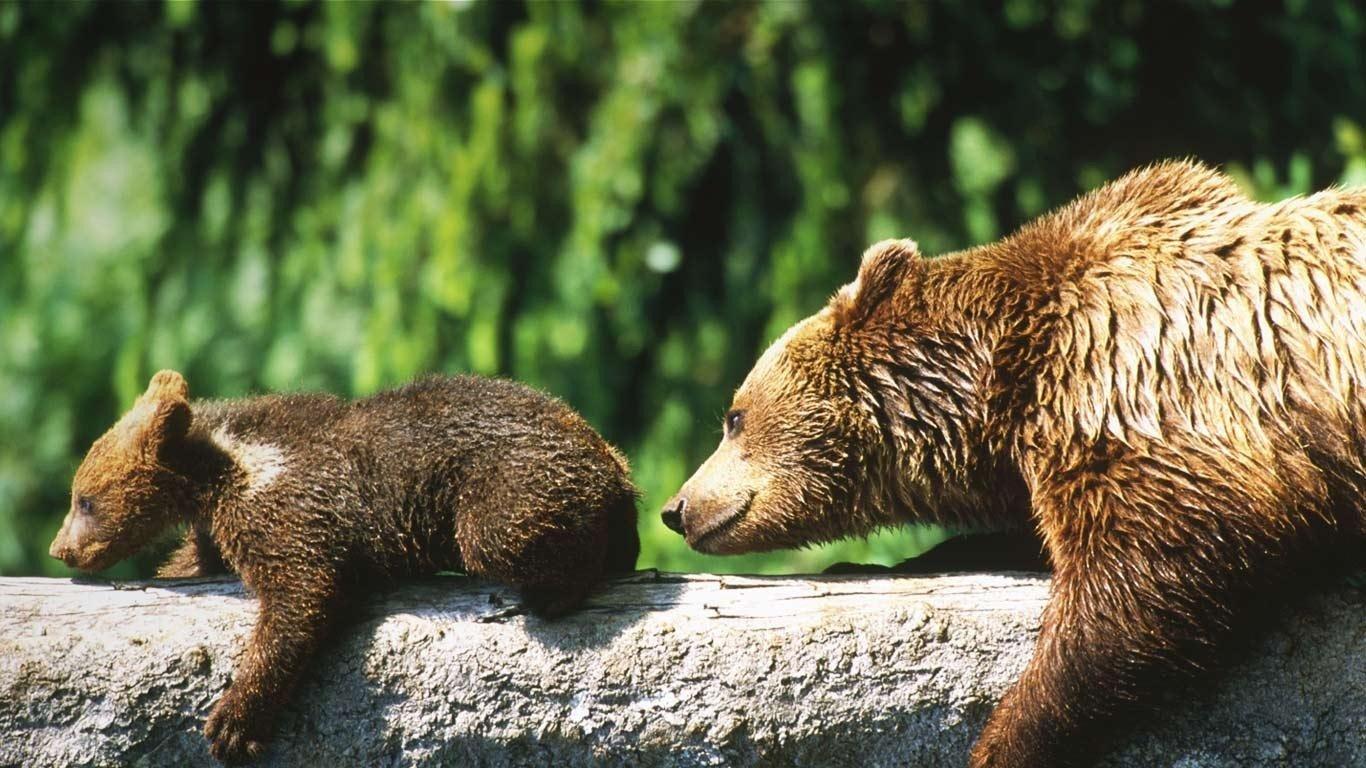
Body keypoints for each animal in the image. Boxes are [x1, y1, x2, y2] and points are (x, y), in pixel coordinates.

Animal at [49, 370, 640, 764]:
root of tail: (607, 459)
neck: (219, 470)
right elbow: (196, 561)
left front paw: (232, 721)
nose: (61, 549)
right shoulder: (221, 524)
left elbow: (302, 594)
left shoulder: (287, 505)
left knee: (500, 534)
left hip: (504, 477)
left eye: (84, 500)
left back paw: (553, 591)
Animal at [661, 160, 1366, 767]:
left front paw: (1006, 740)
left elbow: (1149, 568)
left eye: (733, 417)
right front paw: (883, 562)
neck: (993, 384)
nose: (676, 507)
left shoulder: (1140, 375)